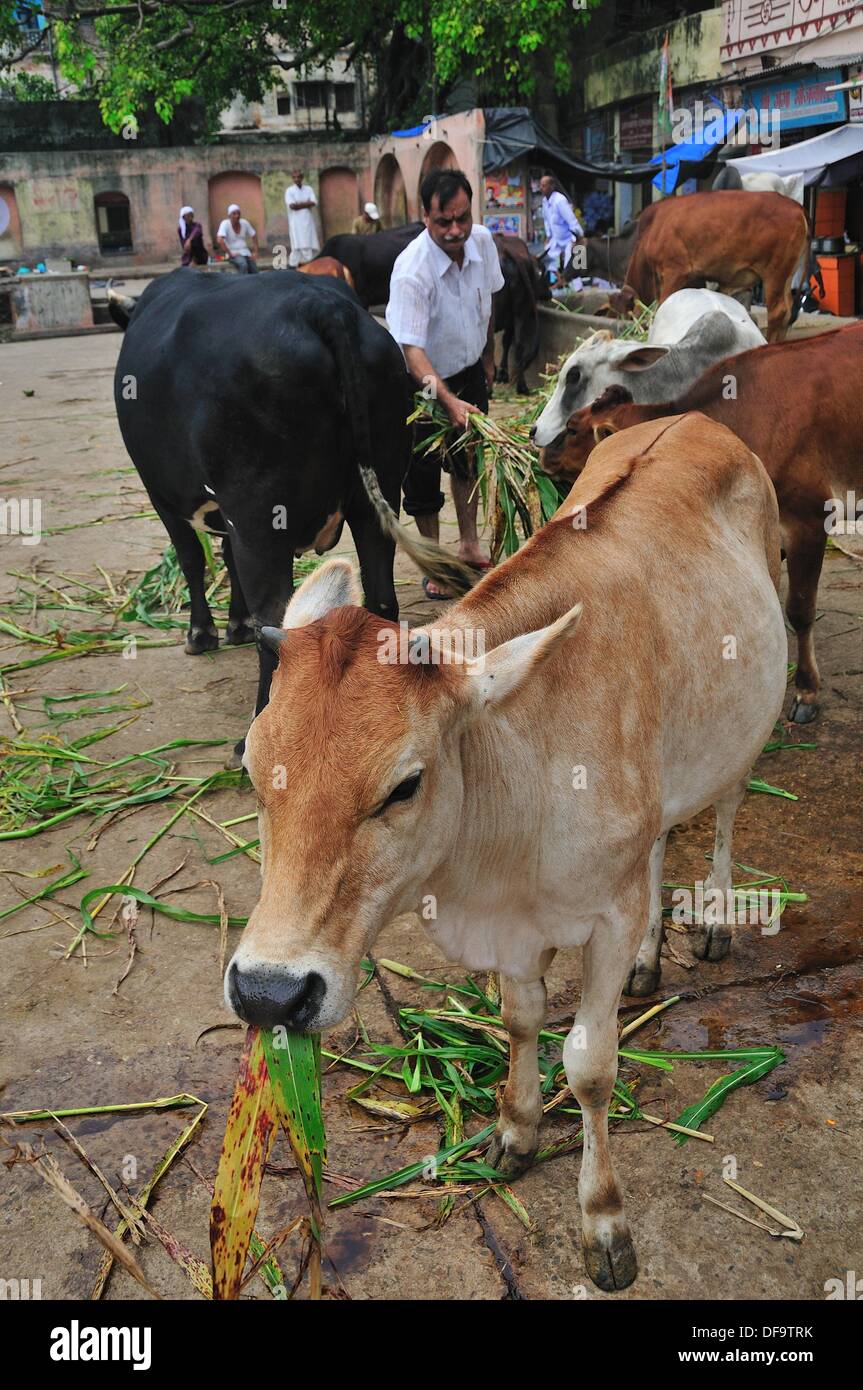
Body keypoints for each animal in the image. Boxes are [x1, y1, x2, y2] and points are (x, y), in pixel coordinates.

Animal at [113, 268, 472, 762]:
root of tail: (321, 305)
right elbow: (225, 559)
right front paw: (234, 625)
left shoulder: (166, 496)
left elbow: (192, 558)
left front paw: (201, 634)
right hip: (374, 496)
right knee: (380, 599)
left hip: (259, 518)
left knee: (276, 621)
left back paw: (252, 738)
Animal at [225, 413, 787, 1291]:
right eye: (250, 767)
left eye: (404, 785)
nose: (267, 994)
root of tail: (696, 416)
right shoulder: (517, 932)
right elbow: (520, 1020)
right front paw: (515, 1132)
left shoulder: (604, 914)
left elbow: (589, 1064)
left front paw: (603, 1224)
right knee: (661, 839)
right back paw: (650, 956)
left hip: (747, 727)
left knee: (724, 814)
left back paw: (716, 923)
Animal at [624, 190, 810, 342]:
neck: (653, 229)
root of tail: (797, 207)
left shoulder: (674, 272)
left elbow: (663, 304)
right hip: (786, 276)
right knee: (788, 311)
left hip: (774, 274)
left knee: (778, 312)